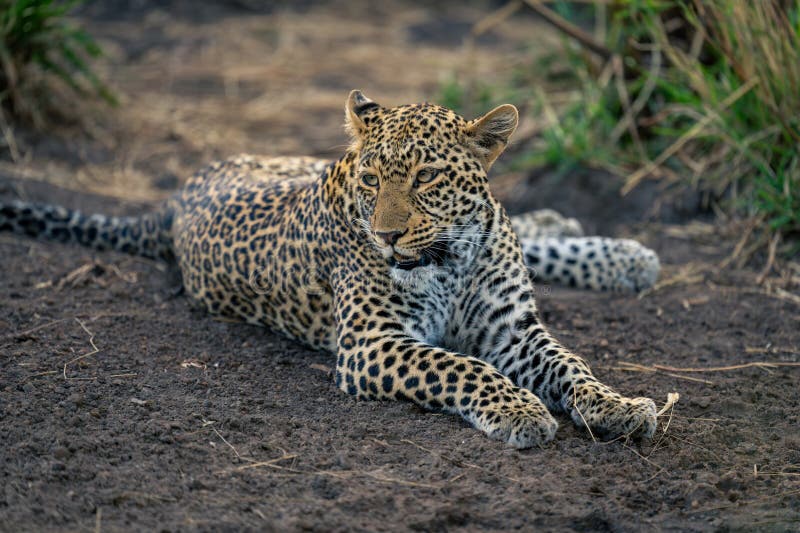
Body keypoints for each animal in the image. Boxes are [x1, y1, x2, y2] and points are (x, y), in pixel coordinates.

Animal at [0, 91, 660, 448]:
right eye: (372, 180)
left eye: (426, 177)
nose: (387, 235)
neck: (453, 257)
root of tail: (179, 194)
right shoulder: (372, 343)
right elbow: (462, 365)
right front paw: (521, 410)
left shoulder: (514, 331)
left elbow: (573, 365)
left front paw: (620, 406)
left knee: (533, 231)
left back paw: (612, 249)